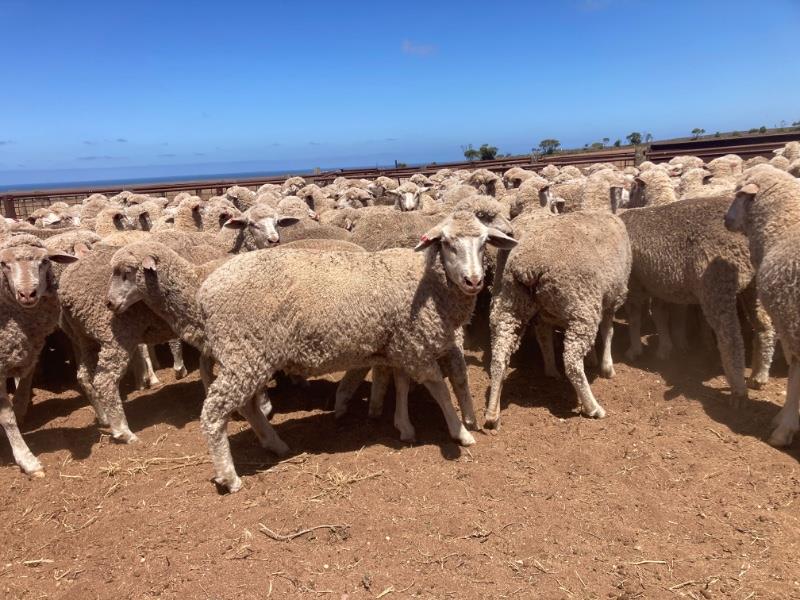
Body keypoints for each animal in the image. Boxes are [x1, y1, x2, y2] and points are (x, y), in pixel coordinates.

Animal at [0, 235, 78, 476]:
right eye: (4, 264)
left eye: (44, 261)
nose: (27, 294)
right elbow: (6, 417)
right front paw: (27, 460)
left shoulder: (29, 350)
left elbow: (24, 385)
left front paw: (20, 409)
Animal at [197, 210, 517, 491]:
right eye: (448, 243)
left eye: (484, 243)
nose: (474, 281)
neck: (428, 282)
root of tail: (206, 290)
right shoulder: (417, 344)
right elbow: (439, 390)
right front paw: (460, 432)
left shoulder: (402, 343)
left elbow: (401, 383)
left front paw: (404, 426)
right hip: (243, 352)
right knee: (215, 413)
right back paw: (230, 477)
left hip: (250, 357)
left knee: (248, 405)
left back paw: (275, 444)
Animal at [485, 211, 631, 428]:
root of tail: (529, 267)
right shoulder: (613, 296)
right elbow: (608, 332)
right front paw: (607, 367)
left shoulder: (544, 315)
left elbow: (545, 337)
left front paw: (584, 361)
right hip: (582, 307)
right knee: (572, 363)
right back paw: (593, 408)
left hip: (509, 303)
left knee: (499, 357)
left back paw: (492, 413)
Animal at [620, 197, 775, 402]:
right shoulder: (657, 284)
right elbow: (660, 316)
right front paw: (665, 348)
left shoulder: (634, 284)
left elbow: (635, 318)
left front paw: (634, 349)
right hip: (753, 286)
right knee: (764, 326)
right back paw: (759, 376)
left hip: (717, 284)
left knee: (731, 338)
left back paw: (738, 388)